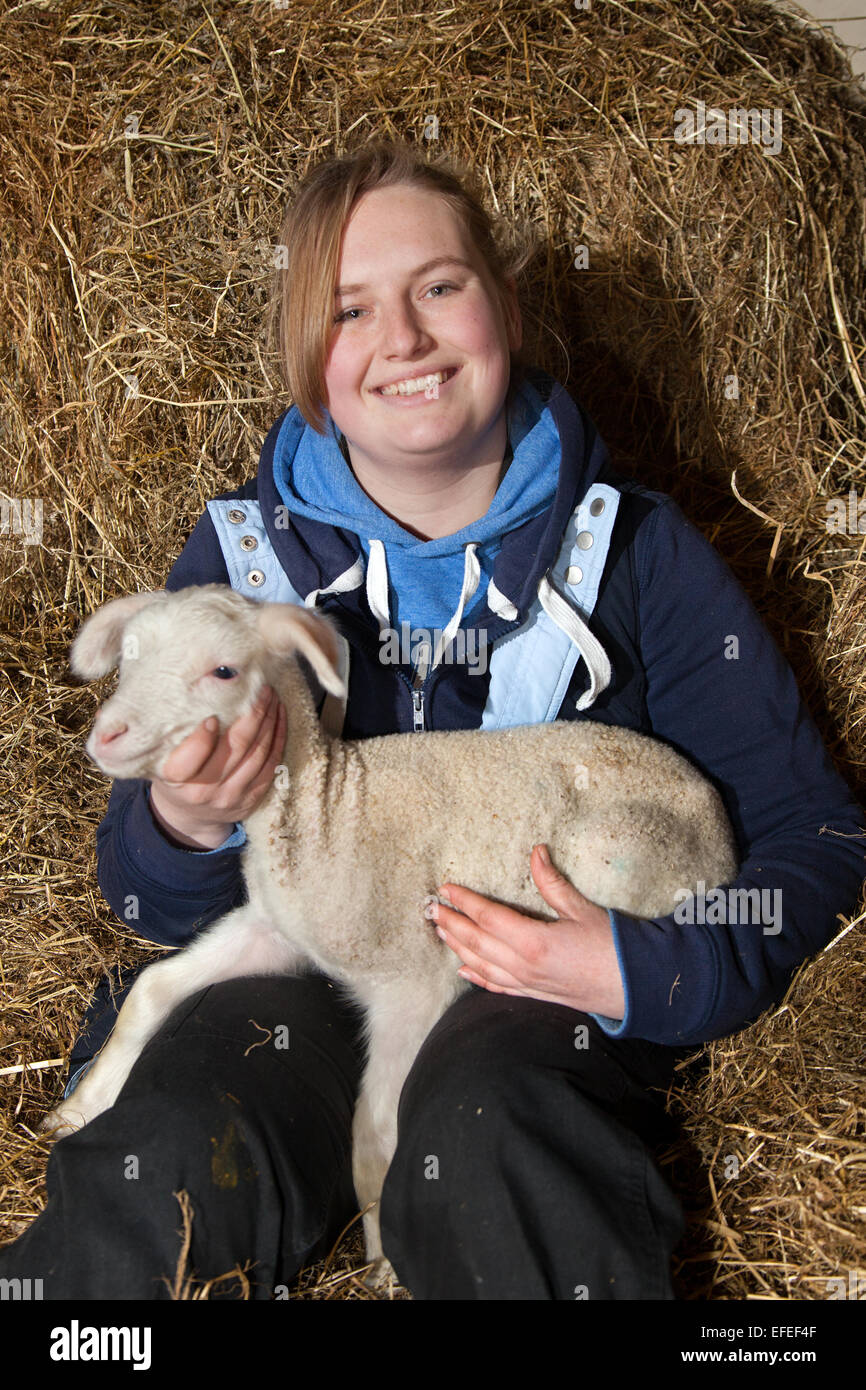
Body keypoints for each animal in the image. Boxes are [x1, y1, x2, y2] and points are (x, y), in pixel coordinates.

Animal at [43, 583, 739, 1285]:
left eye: (224, 671)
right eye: (128, 658)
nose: (108, 735)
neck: (327, 810)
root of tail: (722, 826)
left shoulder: (413, 983)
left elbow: (375, 1130)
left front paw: (382, 1258)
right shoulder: (276, 932)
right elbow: (152, 991)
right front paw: (82, 1106)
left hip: (622, 855)